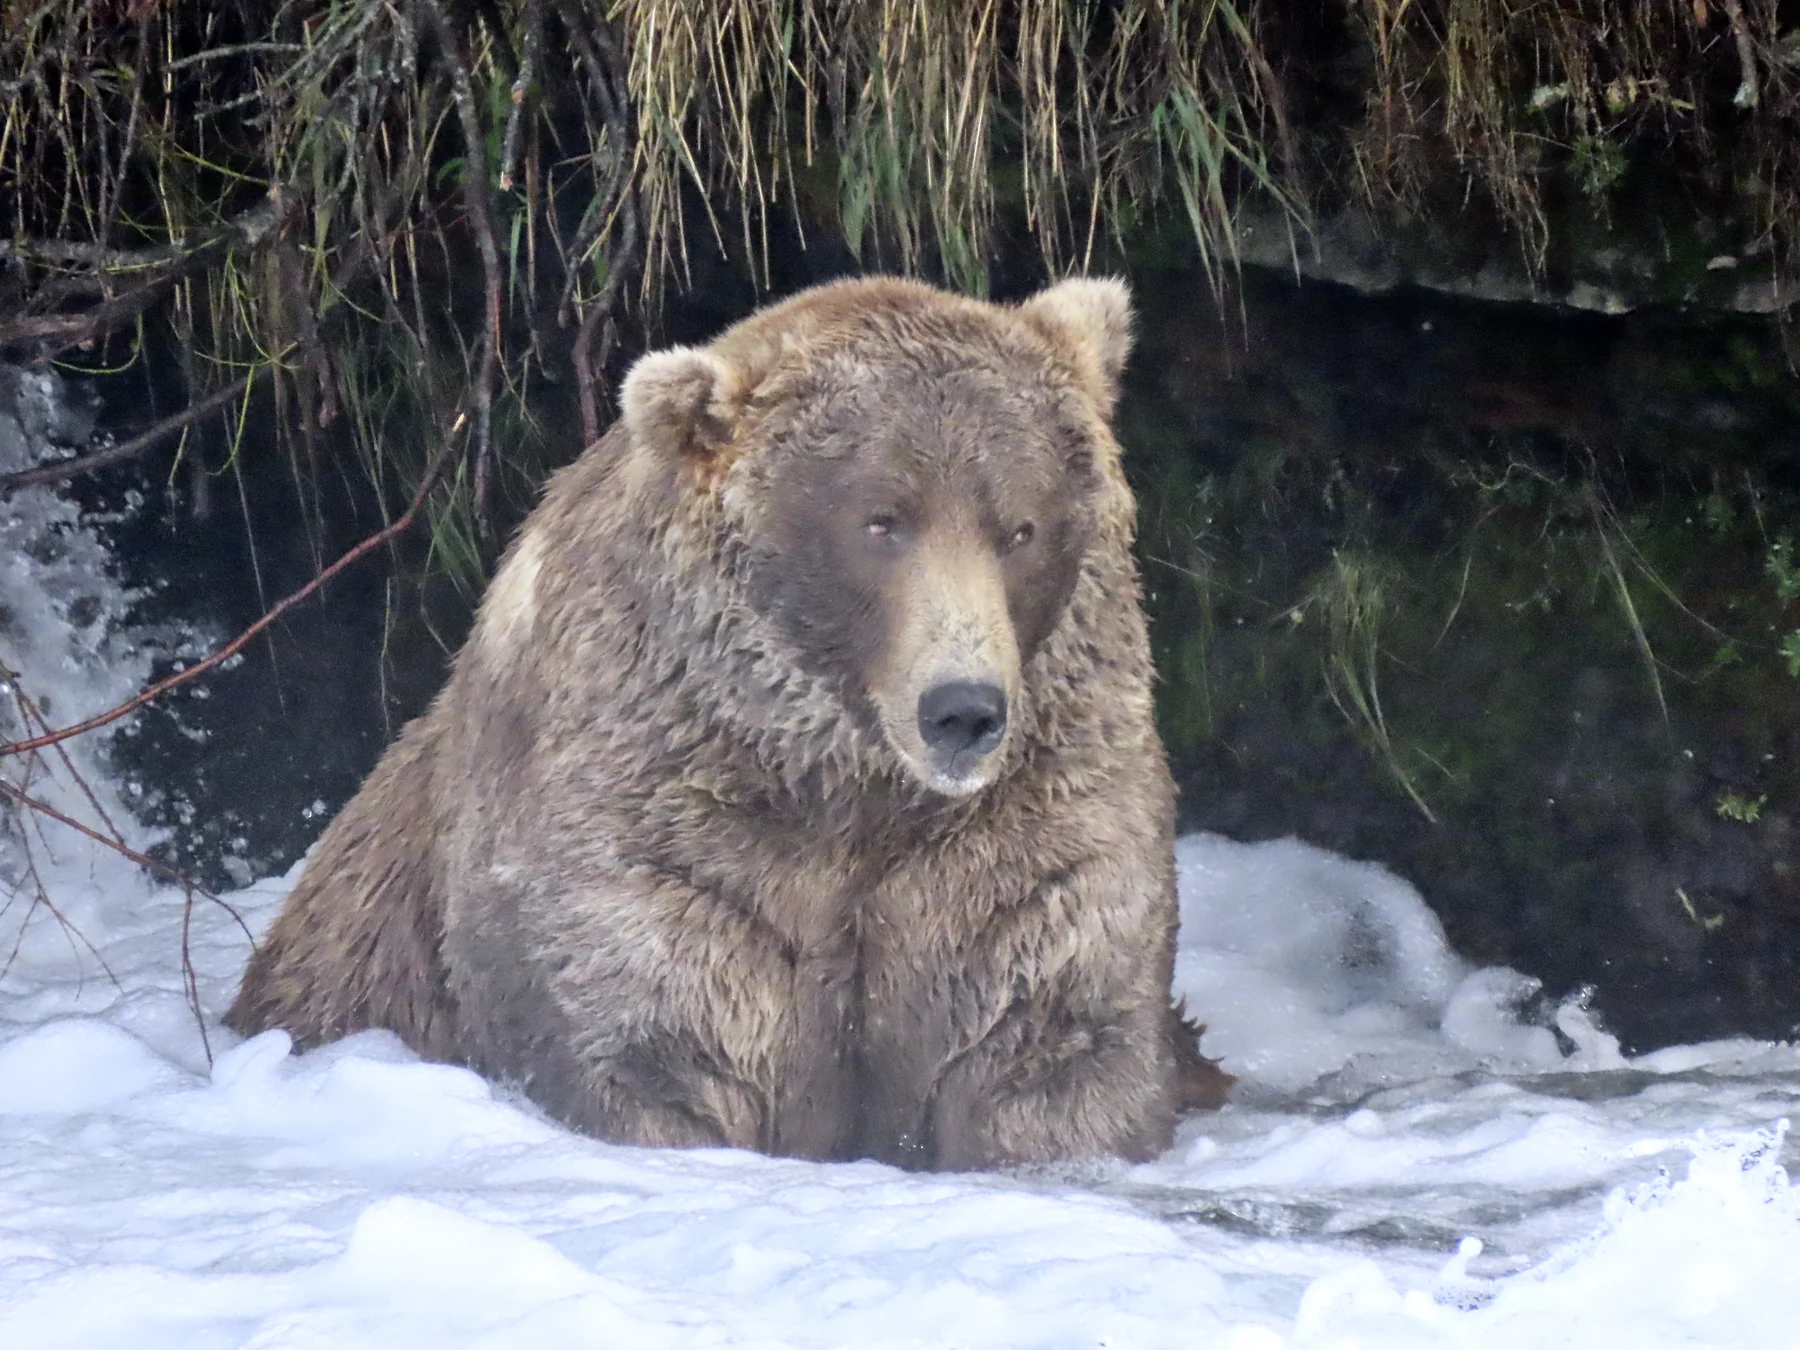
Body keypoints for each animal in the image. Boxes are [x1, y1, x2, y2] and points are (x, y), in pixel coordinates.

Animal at [226, 274, 1231, 1170]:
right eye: (880, 521)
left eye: (1018, 526)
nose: (963, 710)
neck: (848, 786)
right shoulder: (663, 833)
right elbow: (657, 1037)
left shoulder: (1020, 832)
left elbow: (1049, 1037)